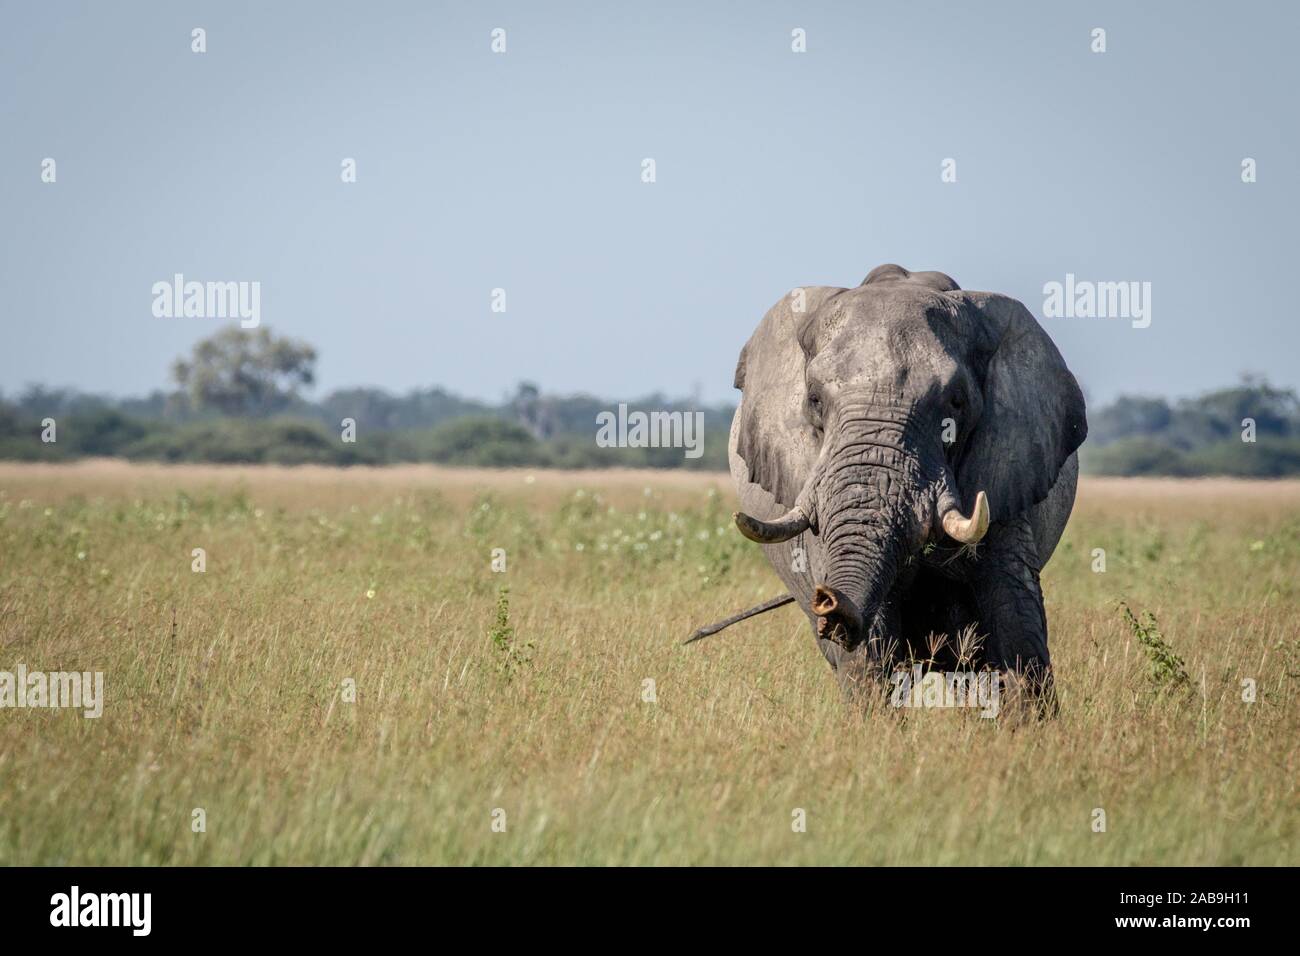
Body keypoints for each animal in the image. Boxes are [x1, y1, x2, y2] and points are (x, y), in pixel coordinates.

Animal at [705, 264, 1087, 705]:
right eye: (815, 400)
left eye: (956, 402)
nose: (827, 600)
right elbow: (870, 649)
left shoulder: (1004, 473)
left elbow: (1015, 623)